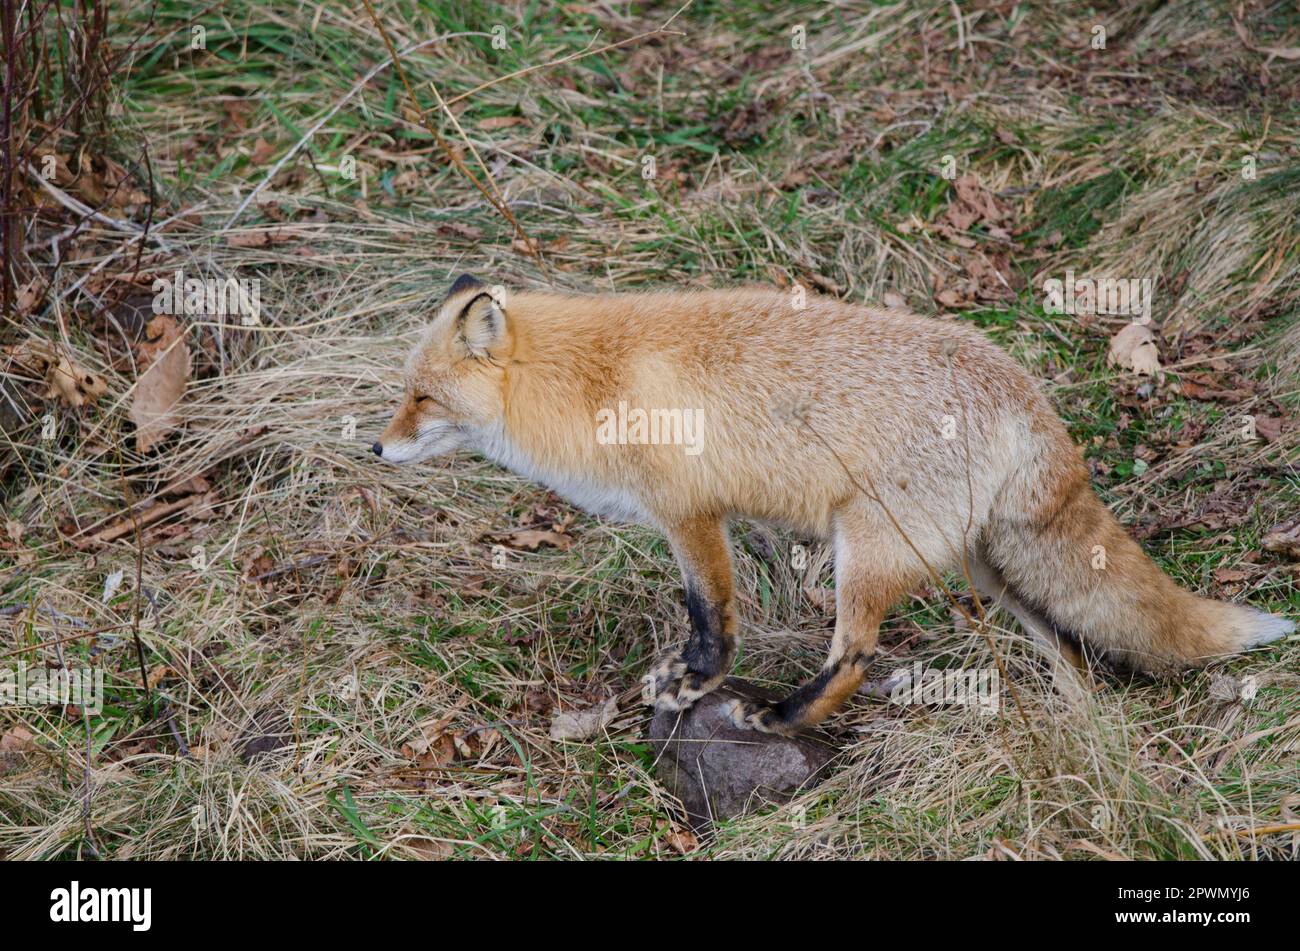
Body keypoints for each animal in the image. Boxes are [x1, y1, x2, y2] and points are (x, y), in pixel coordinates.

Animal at [374, 273, 1293, 735]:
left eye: (421, 398)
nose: (375, 449)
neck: (588, 381)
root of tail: (1025, 390)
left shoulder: (689, 511)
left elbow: (712, 613)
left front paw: (696, 681)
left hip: (869, 551)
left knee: (853, 656)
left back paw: (781, 716)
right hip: (989, 569)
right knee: (1068, 642)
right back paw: (1081, 724)